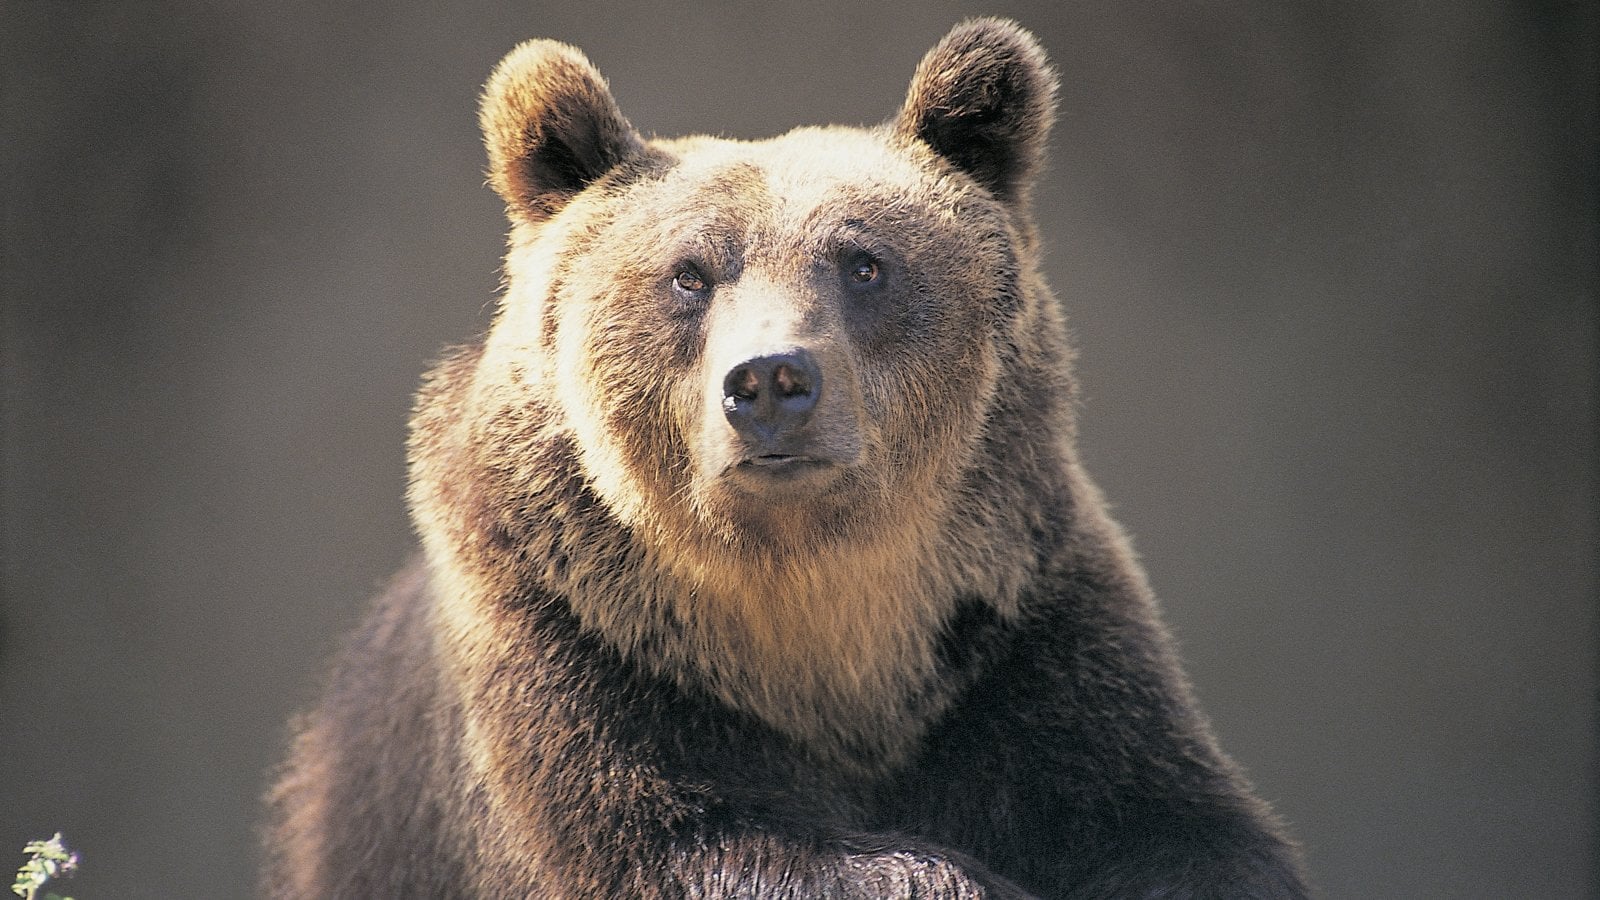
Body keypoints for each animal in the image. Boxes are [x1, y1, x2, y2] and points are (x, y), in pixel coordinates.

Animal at [266, 18, 1308, 899]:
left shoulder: (1026, 642)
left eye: (864, 262)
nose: (770, 379)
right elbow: (686, 839)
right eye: (689, 273)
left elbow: (1172, 823)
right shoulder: (569, 644)